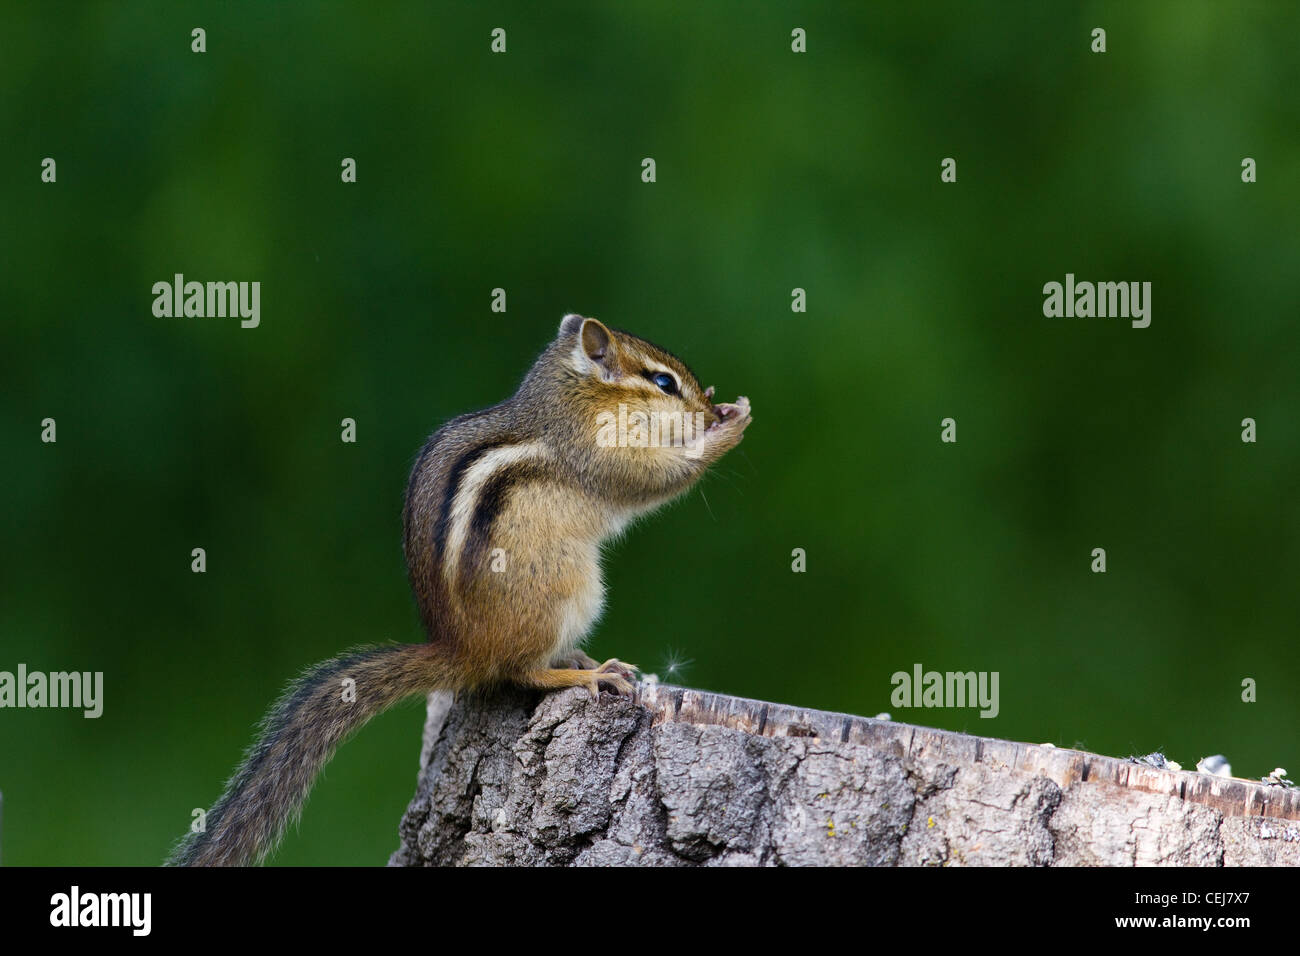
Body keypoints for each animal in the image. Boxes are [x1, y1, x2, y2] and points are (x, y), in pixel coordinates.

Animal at [167, 313, 753, 865]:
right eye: (663, 382)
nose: (707, 411)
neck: (574, 397)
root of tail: (462, 649)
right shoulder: (600, 452)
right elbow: (653, 479)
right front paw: (728, 427)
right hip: (570, 588)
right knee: (521, 671)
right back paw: (585, 674)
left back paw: (581, 659)